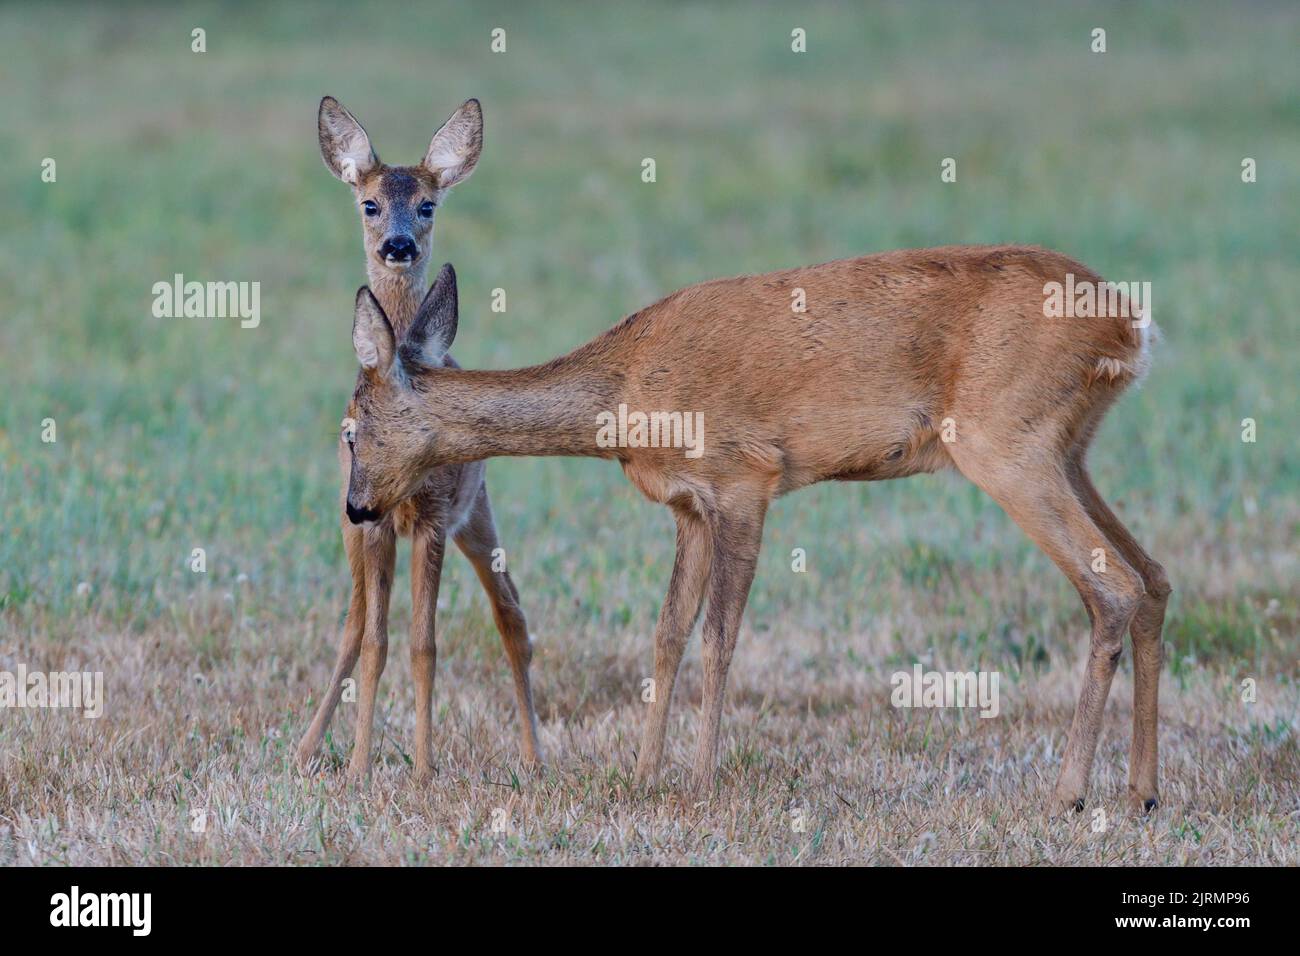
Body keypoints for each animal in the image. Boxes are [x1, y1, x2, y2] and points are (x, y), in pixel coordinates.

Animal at [296, 97, 542, 784]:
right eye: (369, 203)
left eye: (428, 204)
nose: (398, 245)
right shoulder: (372, 517)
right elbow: (376, 641)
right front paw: (358, 767)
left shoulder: (433, 514)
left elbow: (423, 643)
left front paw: (424, 770)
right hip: (350, 524)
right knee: (353, 623)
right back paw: (304, 749)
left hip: (475, 510)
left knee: (511, 614)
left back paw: (535, 758)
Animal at [342, 245, 1170, 815]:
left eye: (351, 429)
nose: (356, 508)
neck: (625, 389)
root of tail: (1129, 324)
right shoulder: (688, 505)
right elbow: (668, 632)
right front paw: (644, 775)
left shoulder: (744, 477)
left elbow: (720, 636)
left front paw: (701, 781)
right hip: (1069, 448)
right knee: (1155, 579)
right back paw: (1141, 791)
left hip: (1008, 443)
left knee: (1113, 587)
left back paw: (1069, 793)